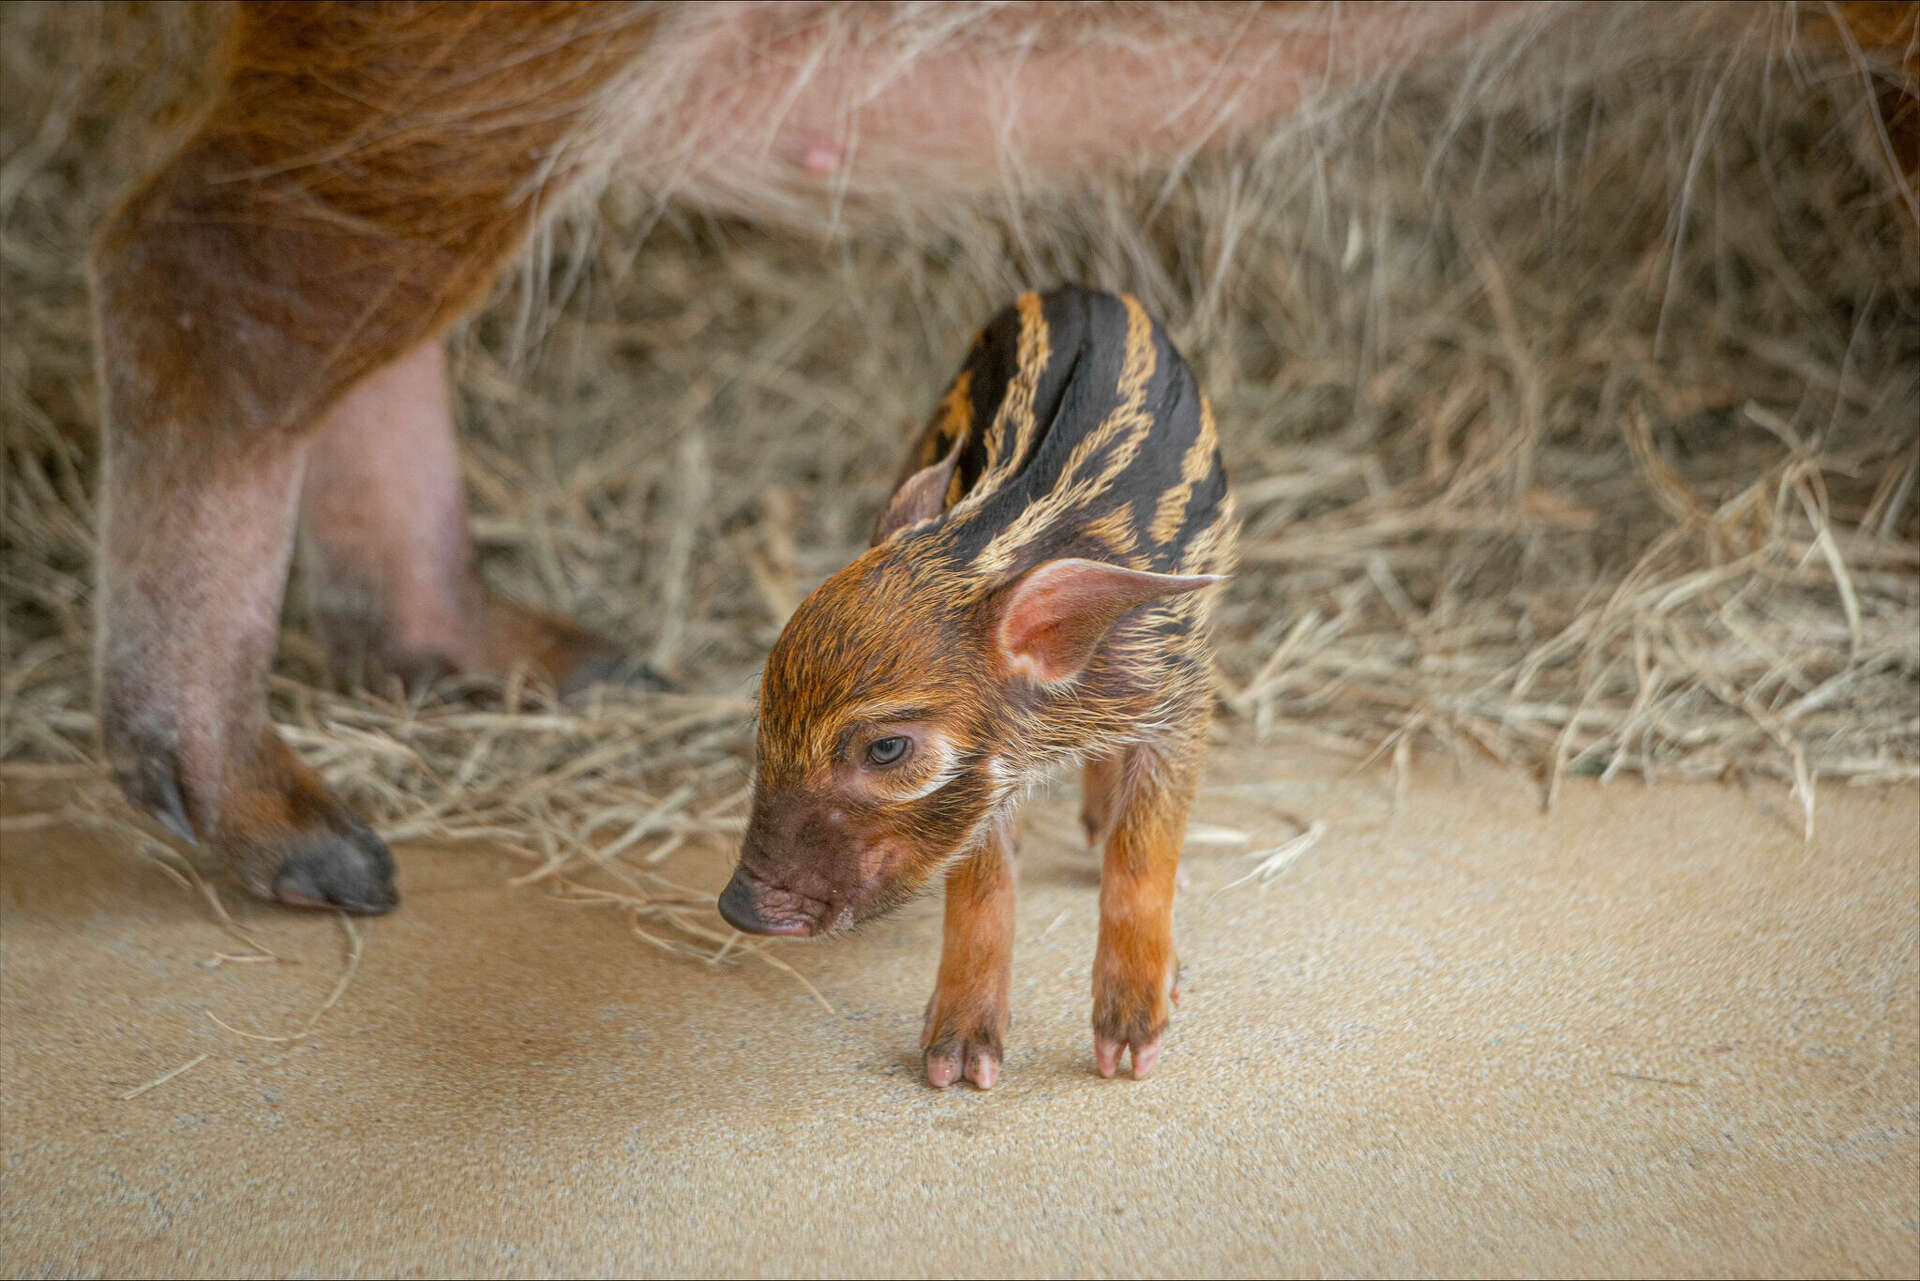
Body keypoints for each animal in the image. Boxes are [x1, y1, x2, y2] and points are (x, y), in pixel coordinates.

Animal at [717, 286, 1234, 1086]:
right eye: (766, 710)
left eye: (888, 748)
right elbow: (984, 882)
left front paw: (1129, 1054)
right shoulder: (989, 784)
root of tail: (1084, 289)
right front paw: (958, 1069)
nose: (738, 907)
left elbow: (1143, 853)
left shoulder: (1179, 691)